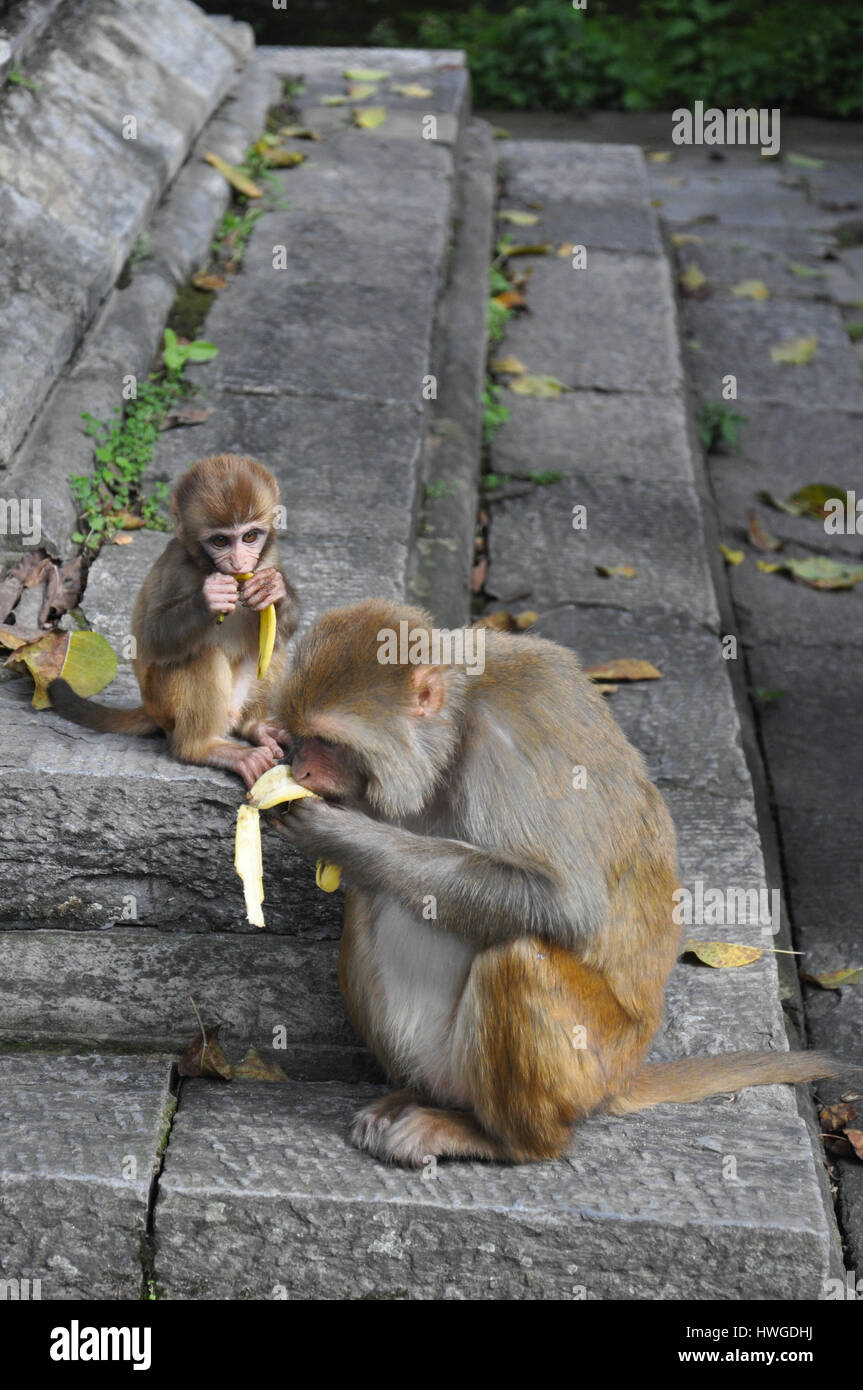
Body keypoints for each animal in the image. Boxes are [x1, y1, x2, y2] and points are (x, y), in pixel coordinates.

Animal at [49, 454, 299, 789]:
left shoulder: (270, 559)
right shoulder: (176, 568)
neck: (205, 566)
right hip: (166, 705)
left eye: (249, 536)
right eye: (220, 541)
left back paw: (255, 726)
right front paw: (208, 599)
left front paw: (272, 590)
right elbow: (152, 637)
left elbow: (284, 626)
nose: (238, 564)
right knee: (201, 654)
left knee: (272, 645)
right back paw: (204, 748)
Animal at [269, 598, 842, 1168]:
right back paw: (418, 1097)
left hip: (589, 1067)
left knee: (517, 957)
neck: (455, 731)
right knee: (369, 899)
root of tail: (623, 1078)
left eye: (327, 742)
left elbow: (565, 905)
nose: (303, 771)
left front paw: (340, 836)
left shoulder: (508, 746)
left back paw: (501, 1140)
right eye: (300, 737)